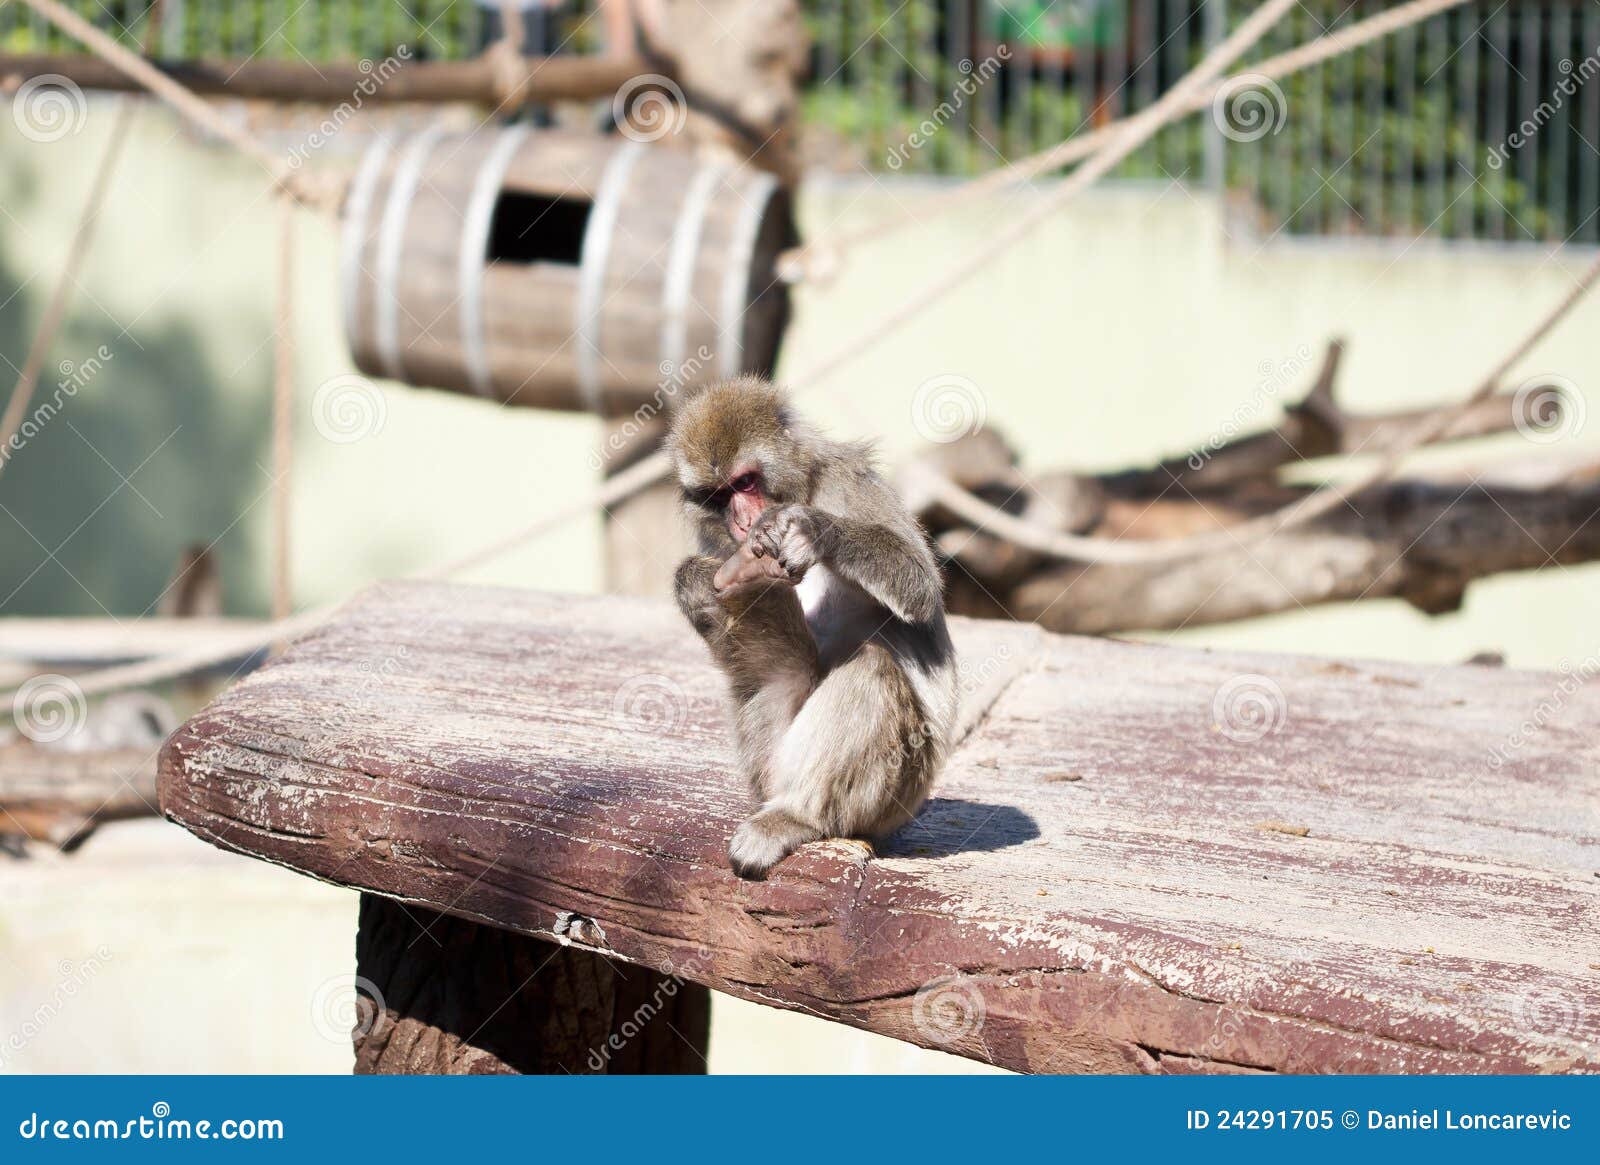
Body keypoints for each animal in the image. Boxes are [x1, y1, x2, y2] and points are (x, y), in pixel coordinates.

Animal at [666, 376, 958, 878]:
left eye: (745, 482)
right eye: (717, 496)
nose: (742, 520)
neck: (801, 488)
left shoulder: (851, 483)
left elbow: (918, 583)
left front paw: (812, 530)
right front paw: (703, 582)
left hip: (893, 794)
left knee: (870, 669)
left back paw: (798, 816)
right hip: (771, 769)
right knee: (770, 675)